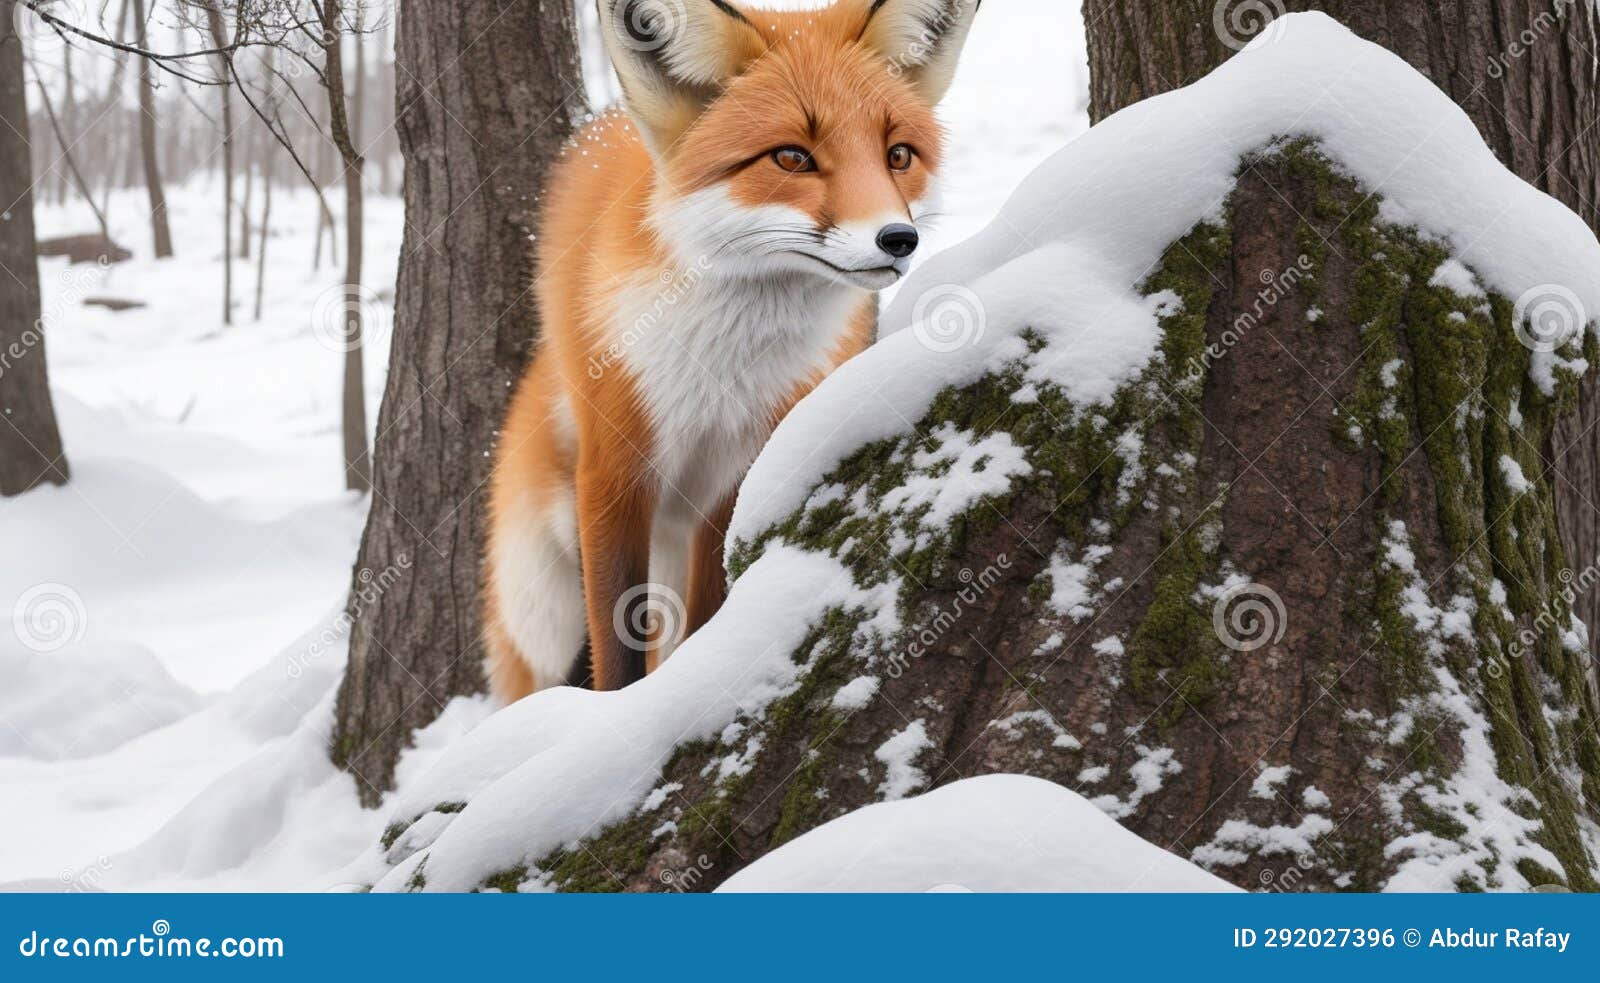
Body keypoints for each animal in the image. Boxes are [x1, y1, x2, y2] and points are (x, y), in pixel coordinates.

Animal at [483, 0, 981, 702]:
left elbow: (707, 616)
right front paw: (613, 718)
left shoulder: (735, 472)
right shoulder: (614, 470)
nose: (898, 238)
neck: (721, 369)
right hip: (543, 602)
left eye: (898, 155)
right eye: (793, 157)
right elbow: (616, 648)